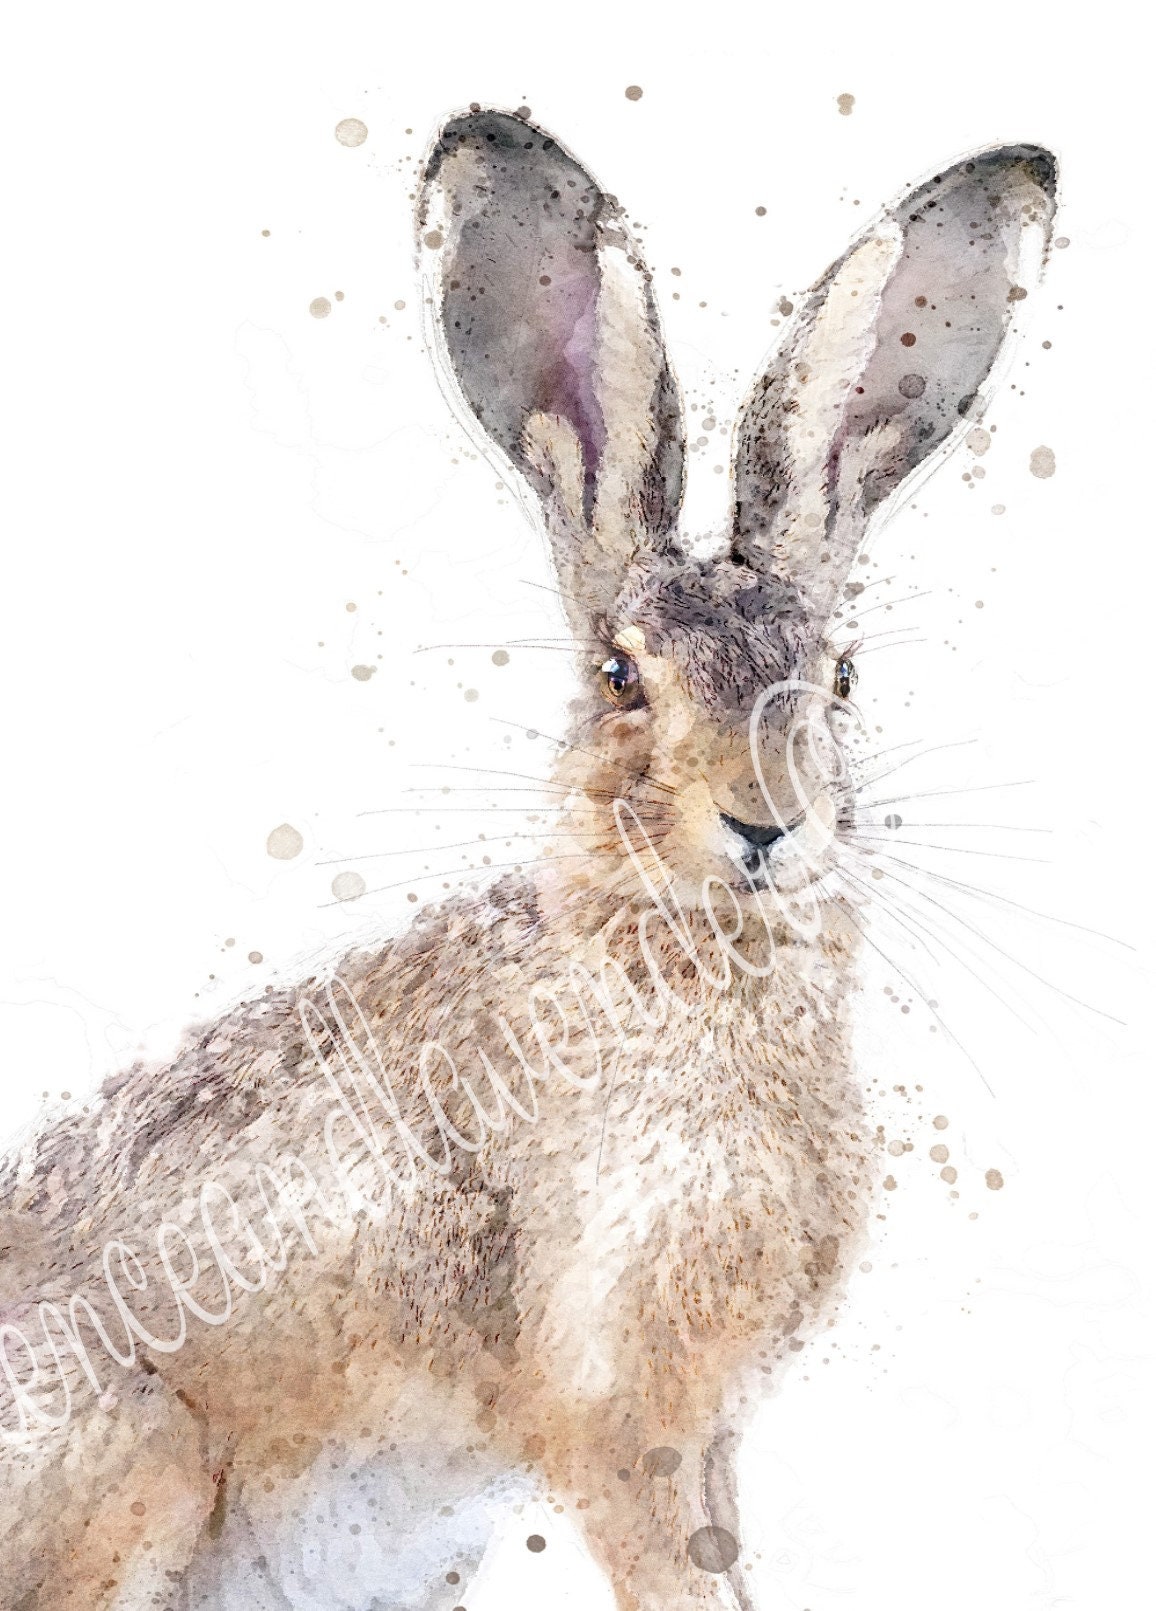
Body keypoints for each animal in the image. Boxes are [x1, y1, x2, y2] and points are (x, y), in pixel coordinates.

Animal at [0, 108, 1056, 1611]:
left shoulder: (703, 1428)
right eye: (621, 676)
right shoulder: (618, 1407)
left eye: (842, 681)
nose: (765, 823)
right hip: (127, 1465)